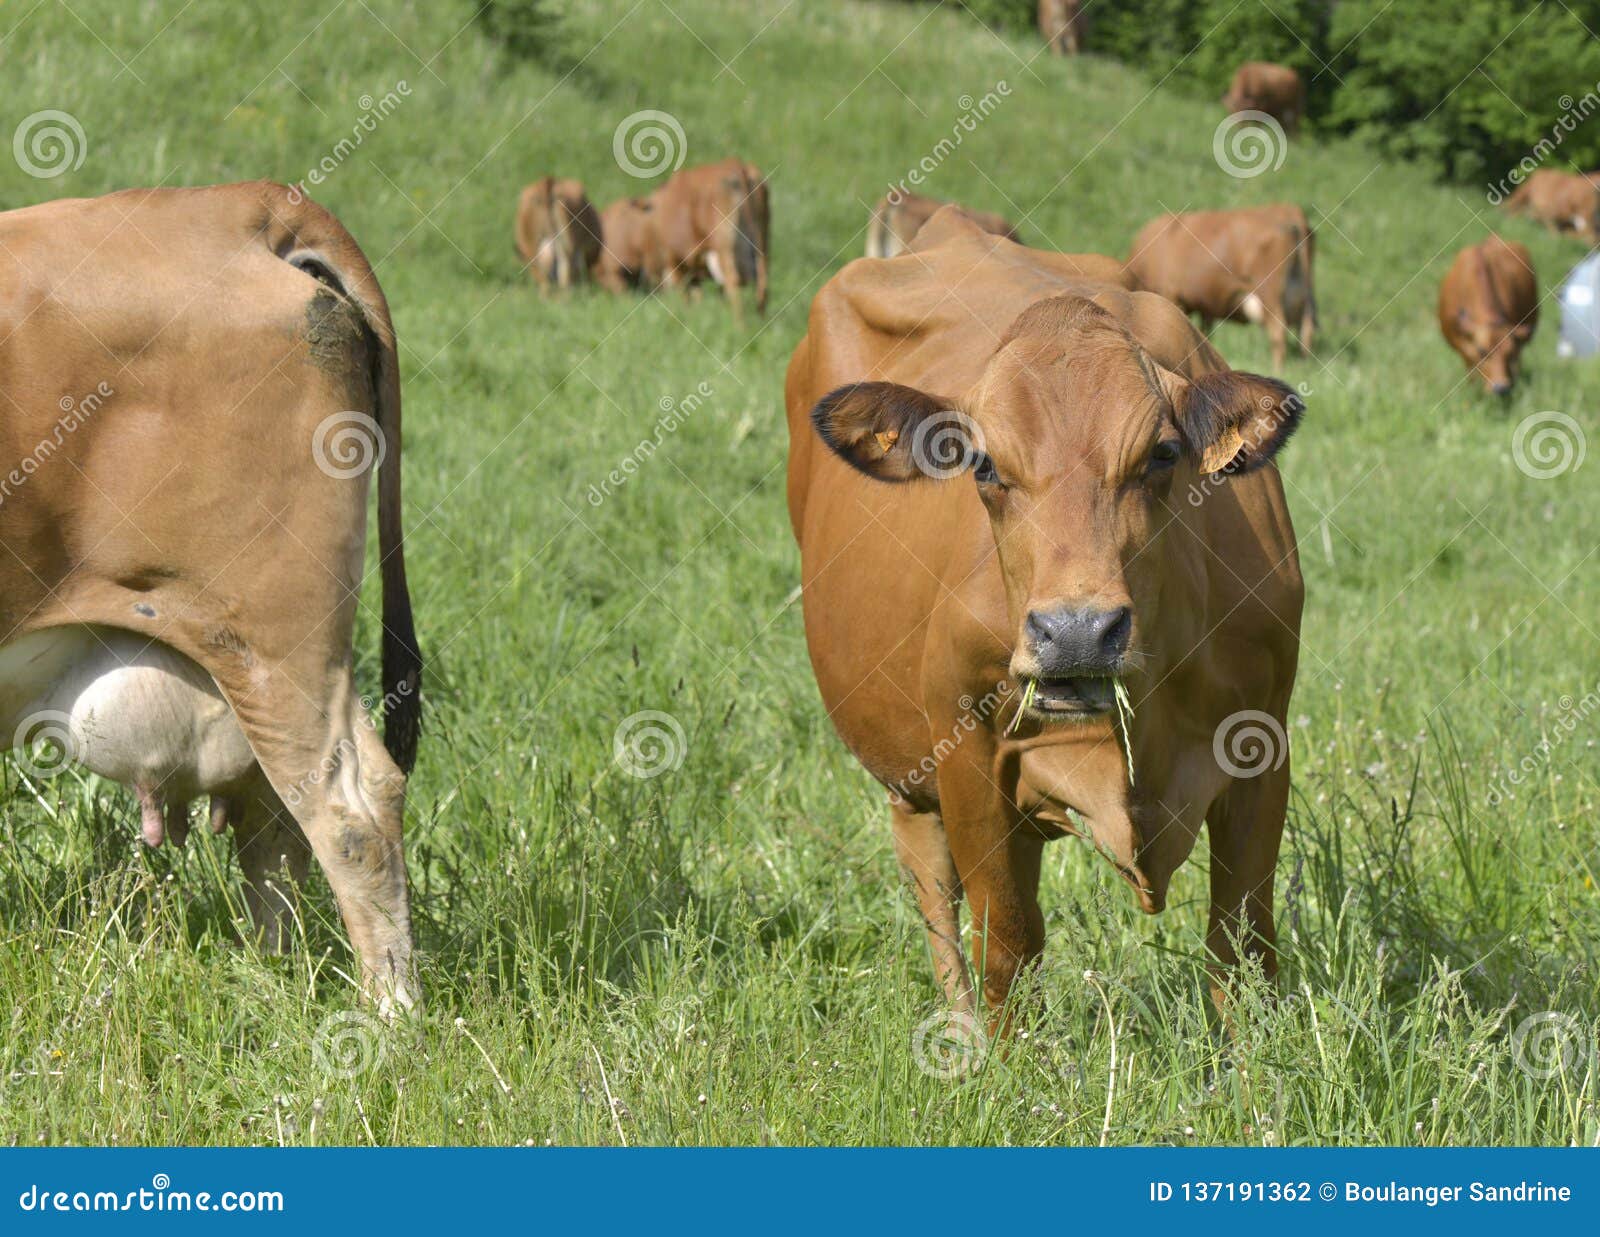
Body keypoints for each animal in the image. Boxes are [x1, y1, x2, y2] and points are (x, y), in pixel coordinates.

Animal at [0, 181, 422, 1014]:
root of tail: (244, 201)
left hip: (280, 638)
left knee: (352, 812)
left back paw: (390, 1015)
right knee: (277, 826)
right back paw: (270, 982)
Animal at [646, 157, 770, 316]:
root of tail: (735, 164)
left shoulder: (676, 263)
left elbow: (686, 299)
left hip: (725, 250)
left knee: (733, 285)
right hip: (762, 243)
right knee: (762, 282)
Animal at [785, 209, 1303, 1032]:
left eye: (1163, 454)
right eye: (983, 464)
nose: (1078, 632)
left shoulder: (1263, 742)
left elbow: (1244, 948)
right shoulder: (967, 752)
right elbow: (1007, 939)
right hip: (909, 763)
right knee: (934, 885)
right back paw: (962, 1031)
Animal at [1127, 204, 1317, 370]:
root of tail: (1290, 213)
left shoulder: (1170, 293)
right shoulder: (1205, 307)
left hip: (1269, 293)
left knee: (1278, 332)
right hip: (1303, 294)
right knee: (1306, 330)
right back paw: (1303, 365)